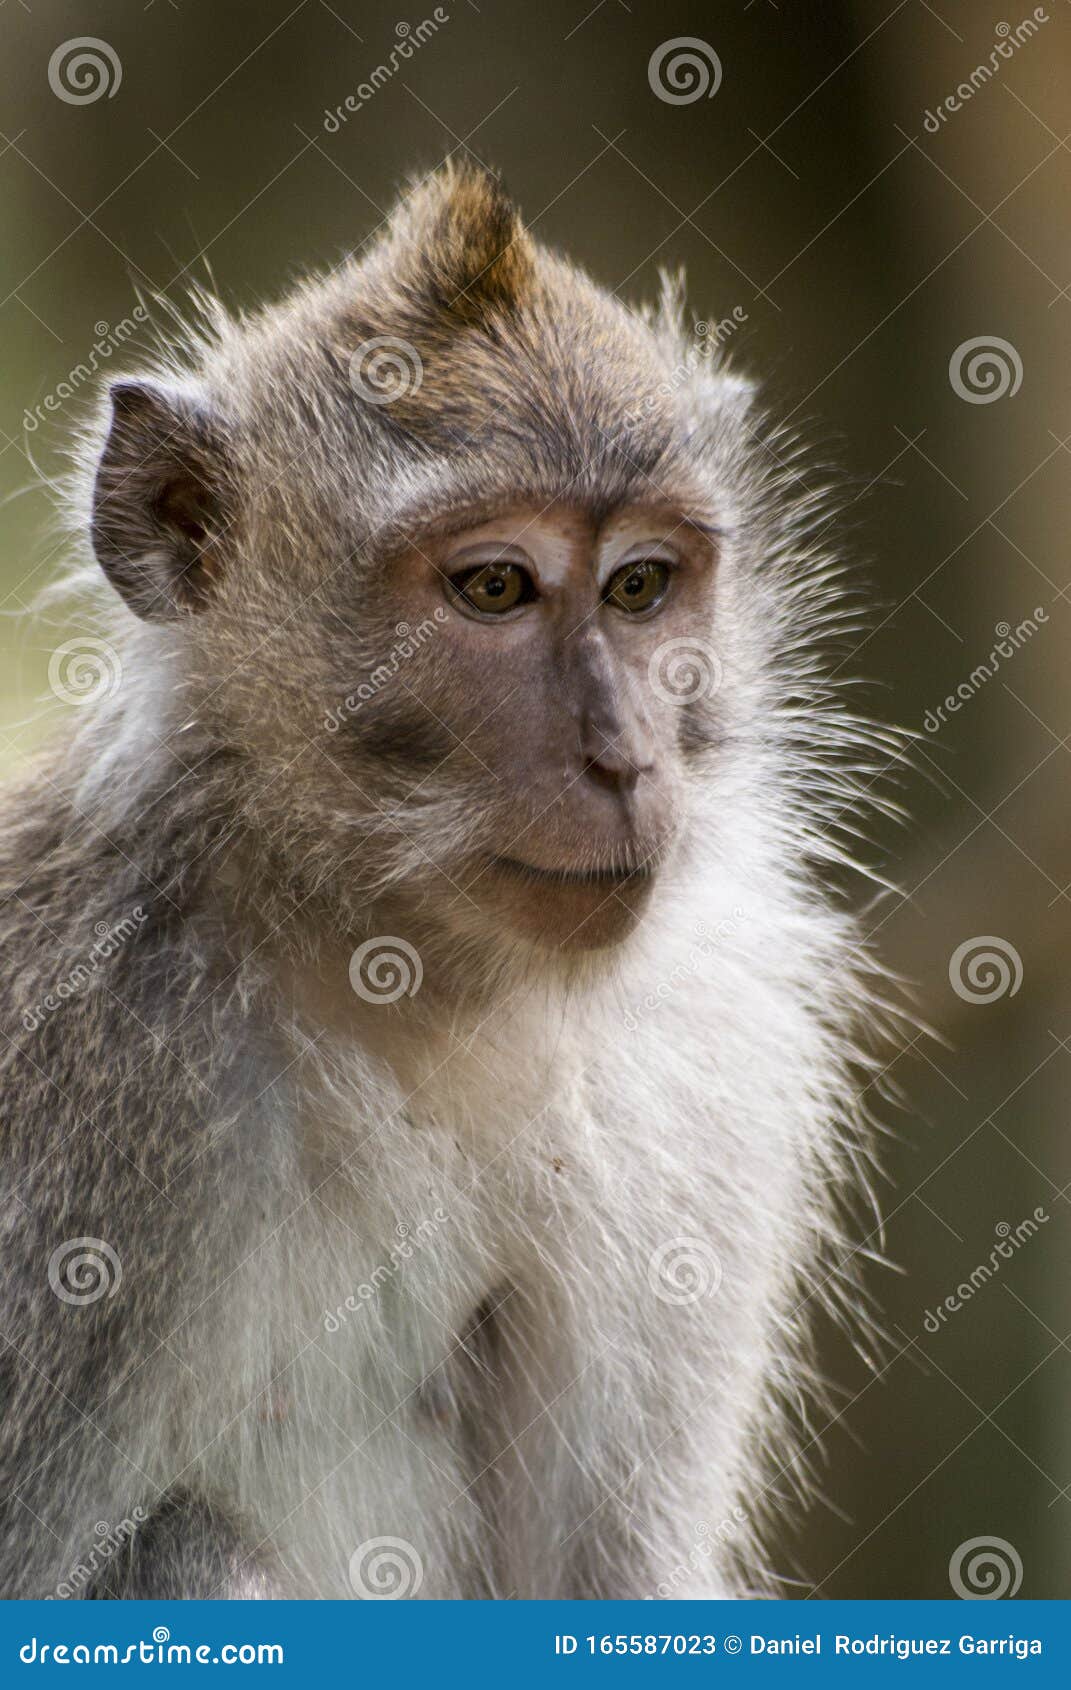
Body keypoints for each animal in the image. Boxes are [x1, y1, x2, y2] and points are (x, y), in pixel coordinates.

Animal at [0, 161, 898, 1600]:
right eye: (493, 587)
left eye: (640, 586)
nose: (621, 756)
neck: (401, 981)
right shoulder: (98, 1072)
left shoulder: (701, 1074)